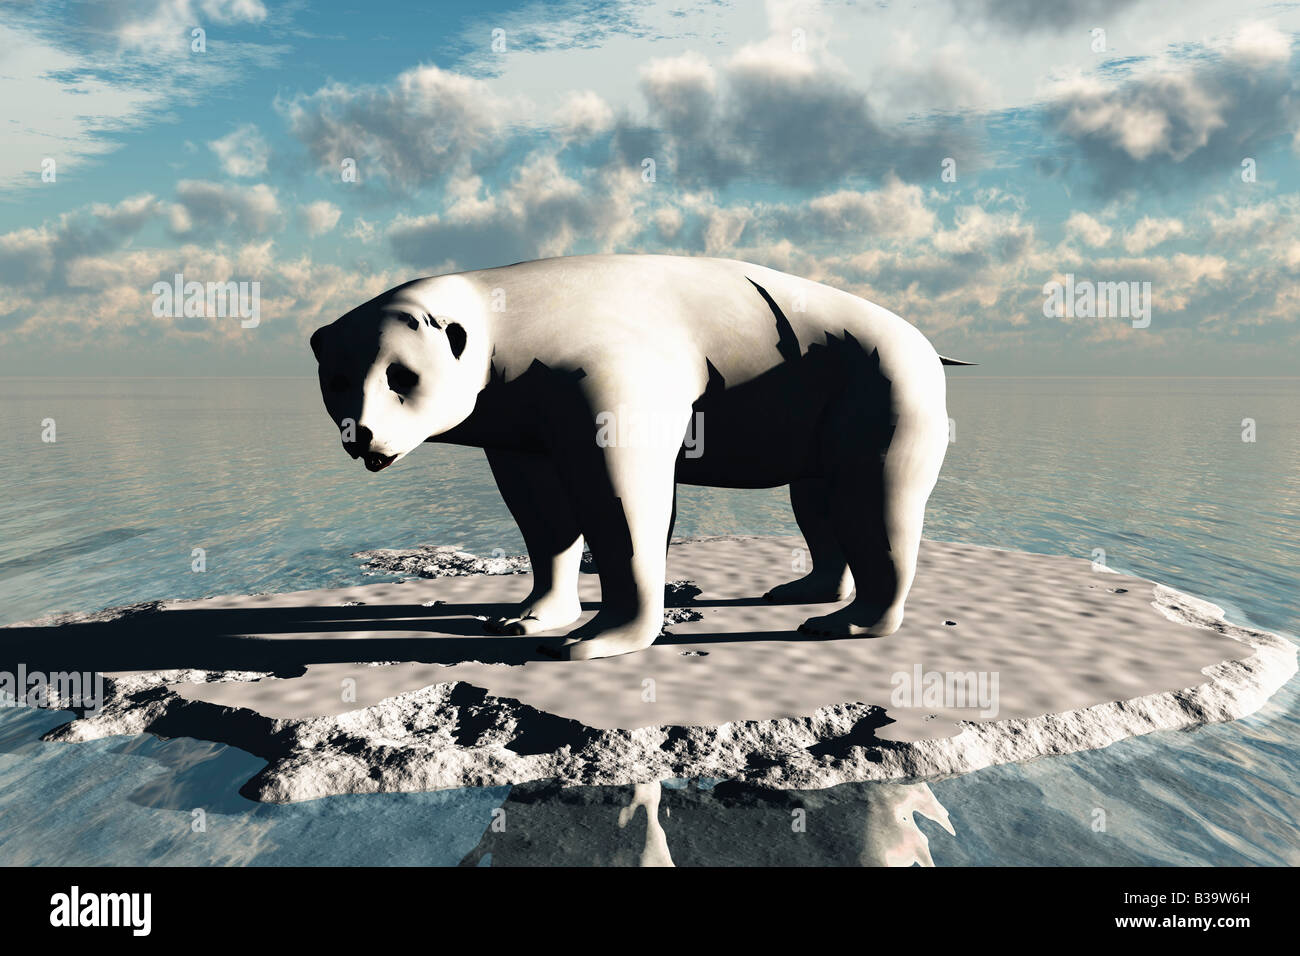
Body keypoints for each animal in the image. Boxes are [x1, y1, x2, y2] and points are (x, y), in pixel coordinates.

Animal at [309, 254, 965, 660]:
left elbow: (624, 500)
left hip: (886, 382)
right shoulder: (516, 415)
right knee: (818, 497)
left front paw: (596, 638)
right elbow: (539, 511)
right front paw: (529, 616)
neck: (508, 322)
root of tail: (928, 343)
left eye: (401, 374)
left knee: (872, 497)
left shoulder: (604, 374)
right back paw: (807, 591)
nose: (361, 434)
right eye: (337, 379)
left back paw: (851, 622)